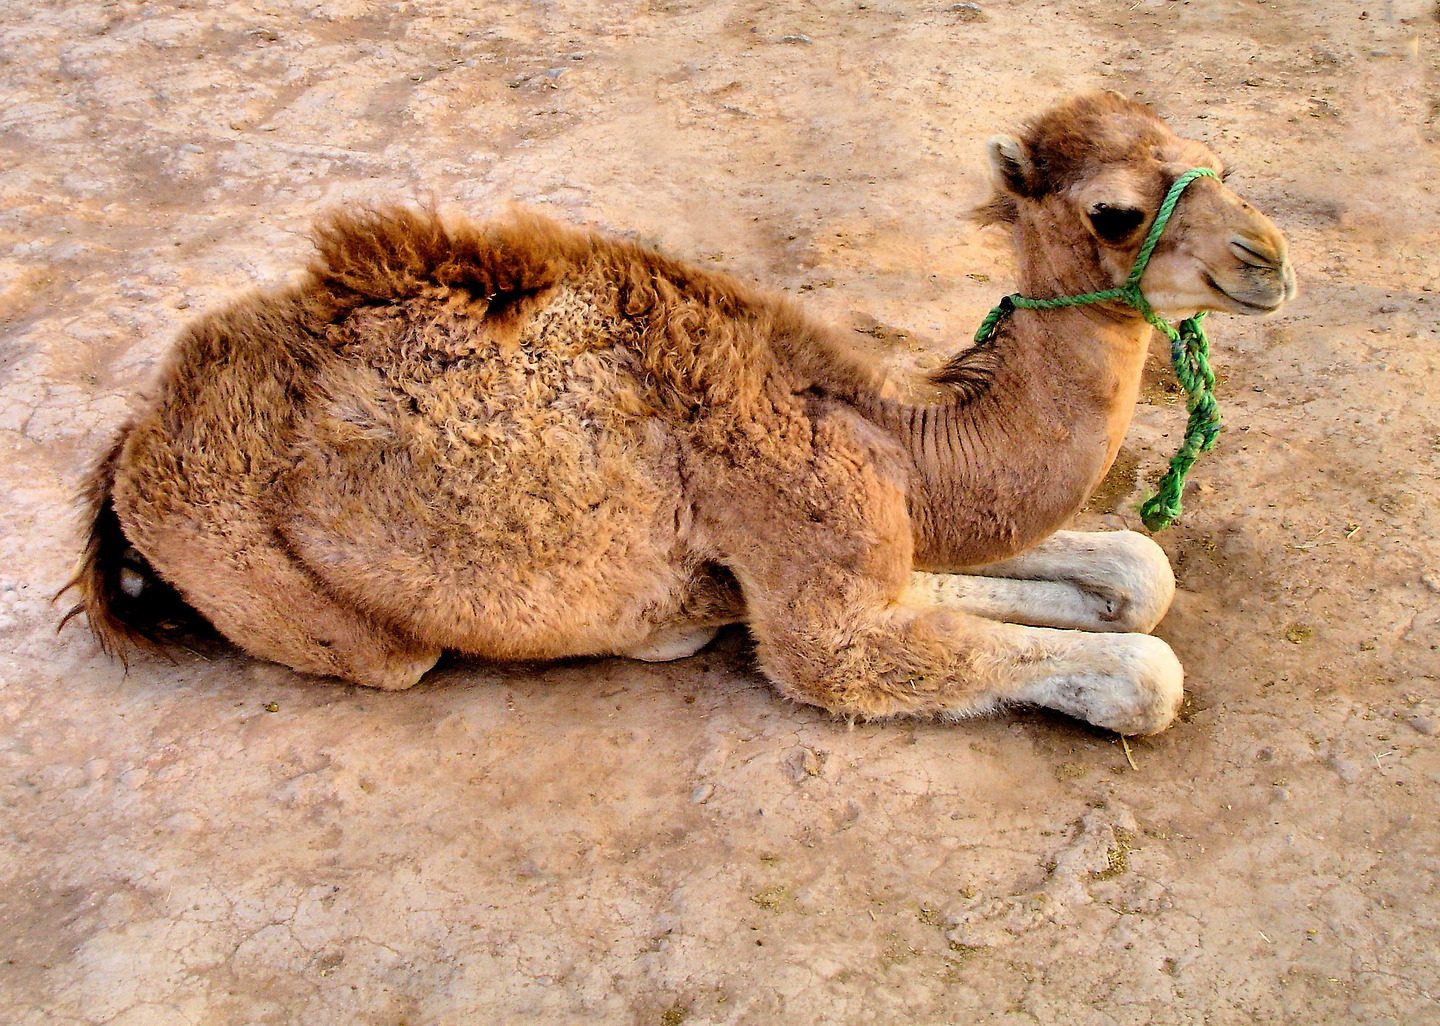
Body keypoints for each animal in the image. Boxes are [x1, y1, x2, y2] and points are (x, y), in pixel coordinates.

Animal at [64, 92, 1295, 735]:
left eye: (1216, 156)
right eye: (1116, 211)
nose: (1269, 257)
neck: (896, 446)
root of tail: (136, 443)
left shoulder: (855, 544)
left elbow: (1135, 569)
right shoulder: (817, 595)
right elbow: (1140, 675)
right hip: (288, 594)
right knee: (389, 656)